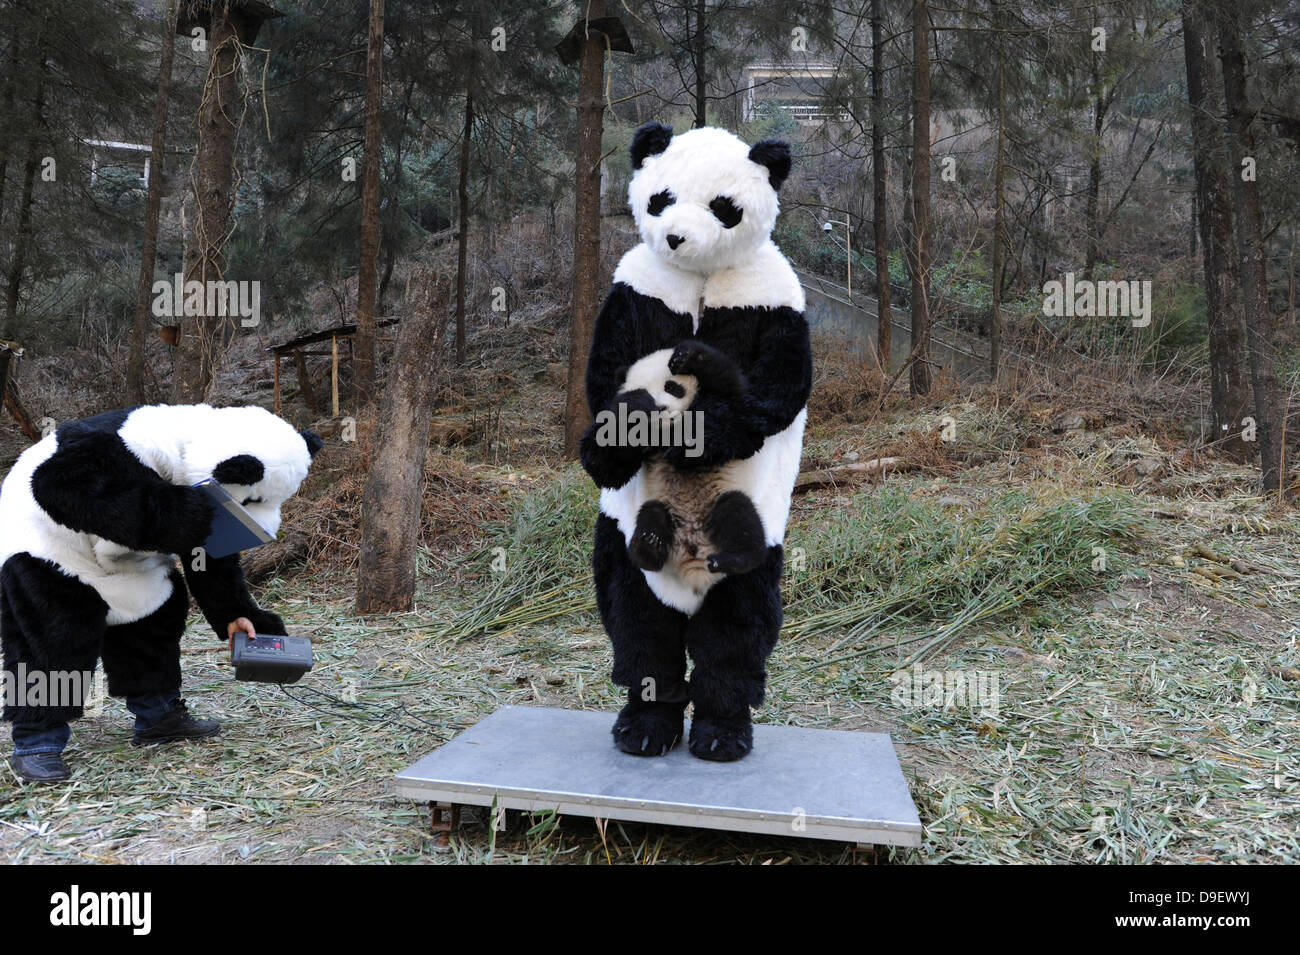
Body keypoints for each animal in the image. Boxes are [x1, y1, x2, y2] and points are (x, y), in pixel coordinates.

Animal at [0, 403, 321, 780]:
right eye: (255, 499)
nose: (268, 532)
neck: (185, 437)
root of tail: (112, 604)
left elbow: (211, 566)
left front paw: (249, 623)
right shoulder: (113, 449)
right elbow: (68, 485)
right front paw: (193, 511)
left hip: (144, 586)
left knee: (150, 636)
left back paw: (167, 721)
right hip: (52, 564)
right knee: (56, 643)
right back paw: (39, 754)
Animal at [579, 123, 812, 762]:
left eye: (723, 207)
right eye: (661, 199)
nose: (676, 237)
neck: (703, 278)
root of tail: (690, 560)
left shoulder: (773, 297)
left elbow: (767, 392)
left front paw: (699, 415)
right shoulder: (635, 290)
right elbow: (602, 383)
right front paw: (621, 436)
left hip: (747, 518)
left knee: (739, 619)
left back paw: (721, 729)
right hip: (628, 524)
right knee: (637, 614)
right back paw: (644, 722)